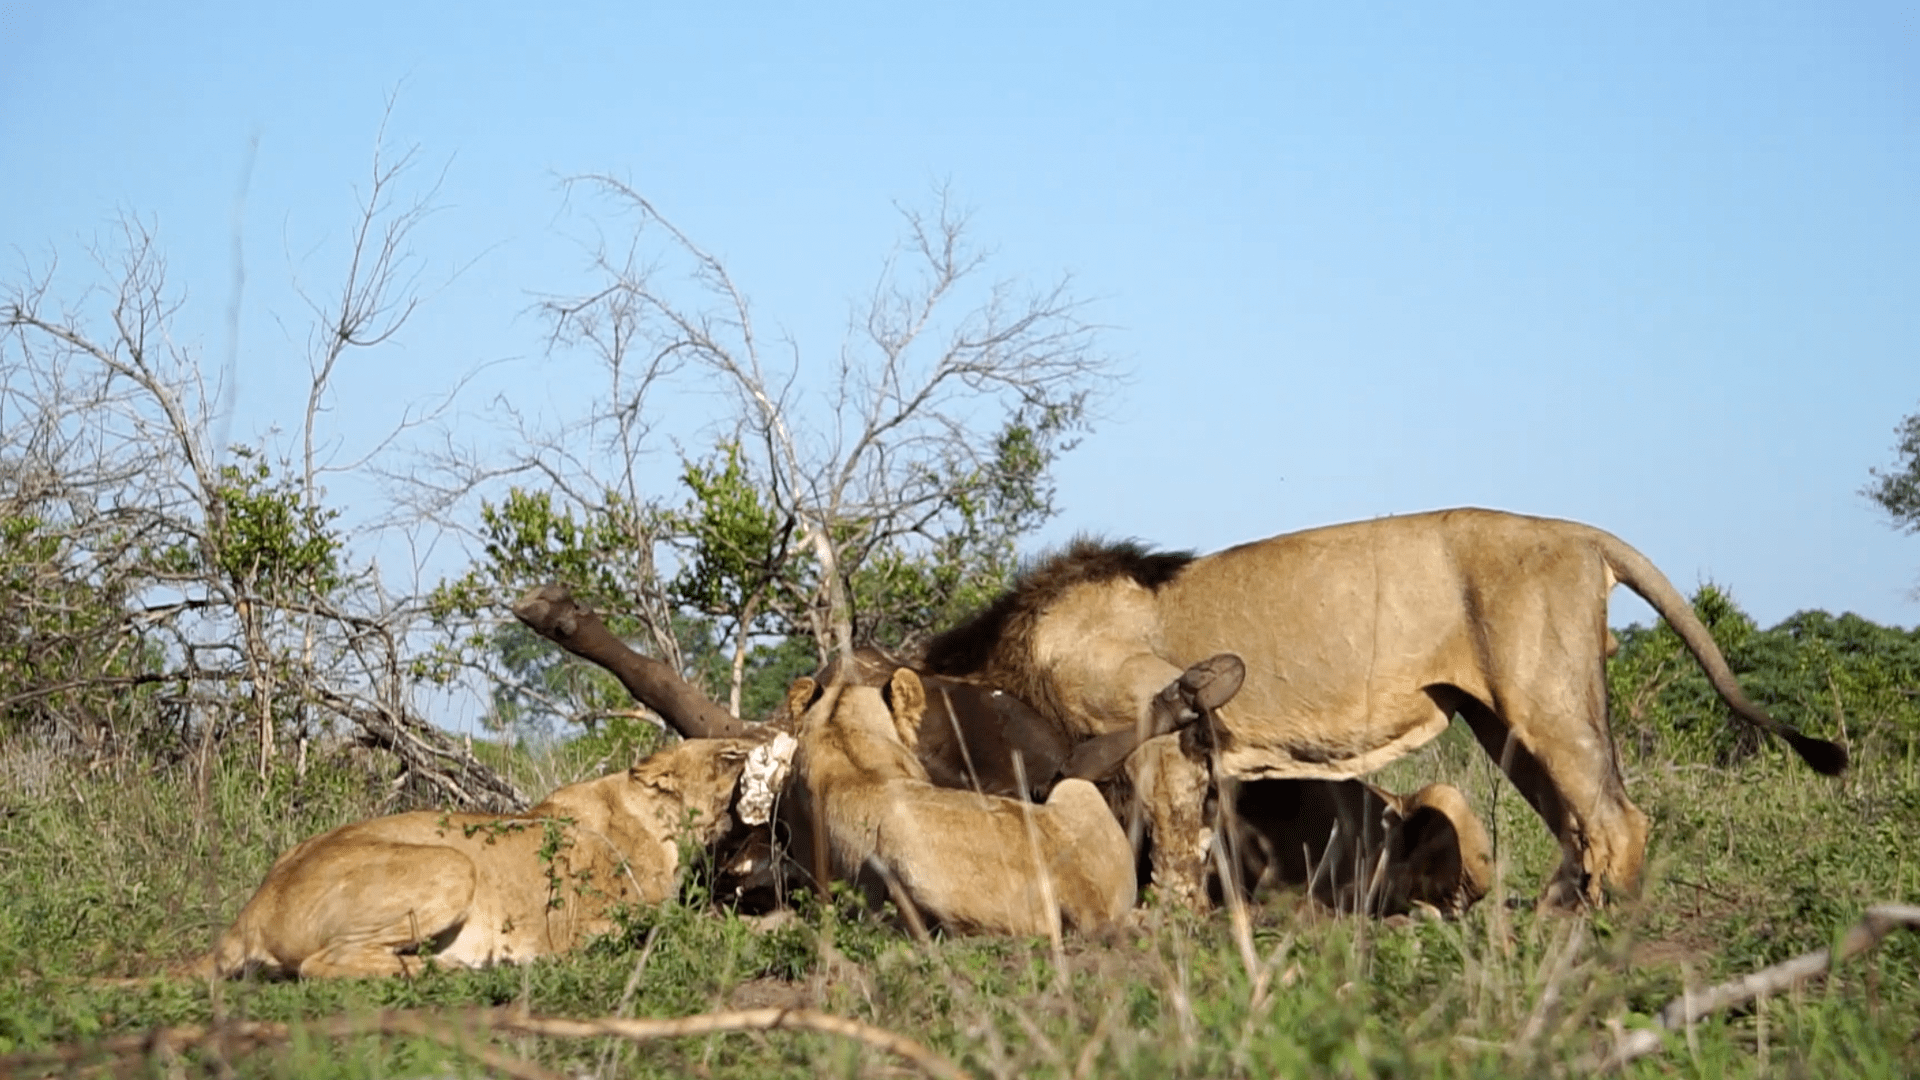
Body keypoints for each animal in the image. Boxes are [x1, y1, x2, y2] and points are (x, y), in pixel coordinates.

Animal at [206, 738, 753, 978]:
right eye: (730, 755)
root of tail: (253, 908)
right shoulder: (596, 929)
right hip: (453, 865)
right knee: (320, 964)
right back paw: (448, 967)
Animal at [921, 507, 1847, 907]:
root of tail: (1582, 533)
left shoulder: (1163, 720)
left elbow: (1176, 840)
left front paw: (1168, 932)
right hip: (1504, 722)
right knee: (1578, 824)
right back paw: (1544, 921)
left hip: (1546, 700)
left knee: (1618, 820)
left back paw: (1593, 936)